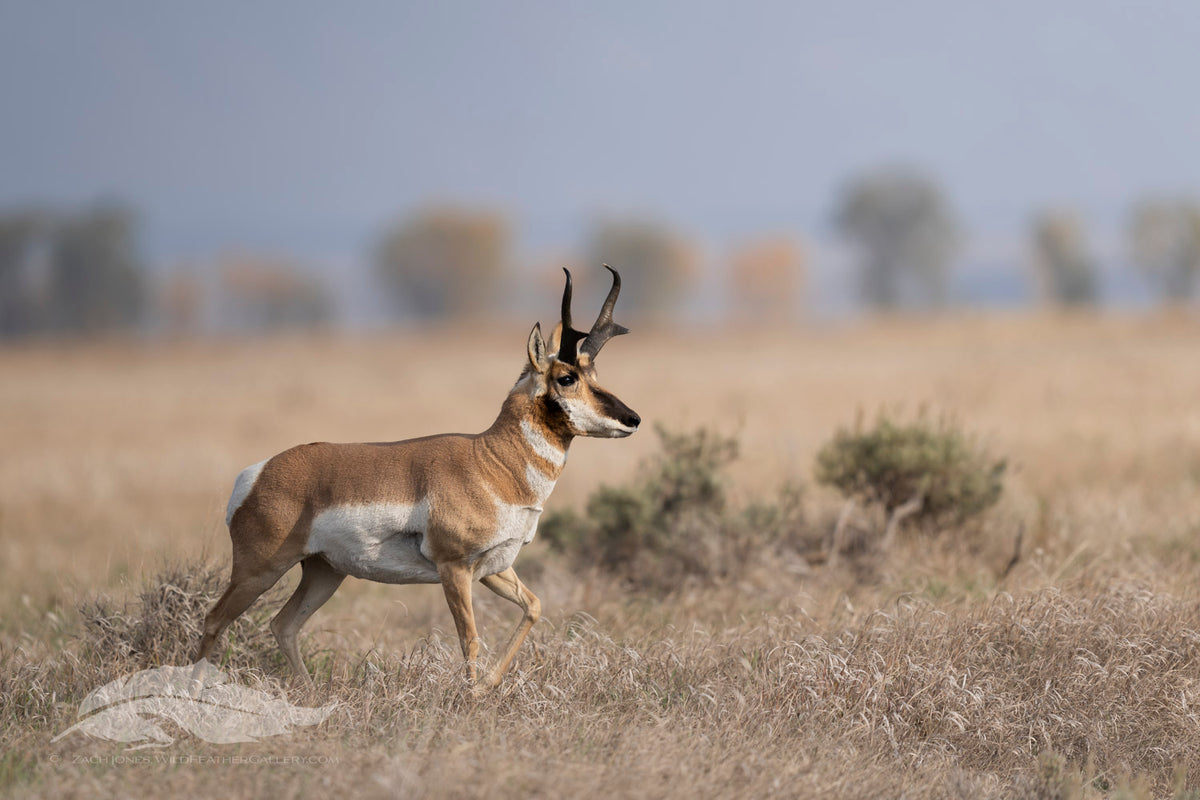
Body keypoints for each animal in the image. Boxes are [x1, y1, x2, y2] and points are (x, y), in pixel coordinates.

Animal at [195, 267, 640, 691]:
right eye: (566, 378)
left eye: (594, 374)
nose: (632, 418)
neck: (490, 461)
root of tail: (257, 473)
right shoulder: (454, 568)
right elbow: (470, 639)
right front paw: (470, 697)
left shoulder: (495, 568)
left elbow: (533, 606)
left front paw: (489, 686)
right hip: (260, 570)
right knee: (214, 620)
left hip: (324, 572)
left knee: (283, 624)